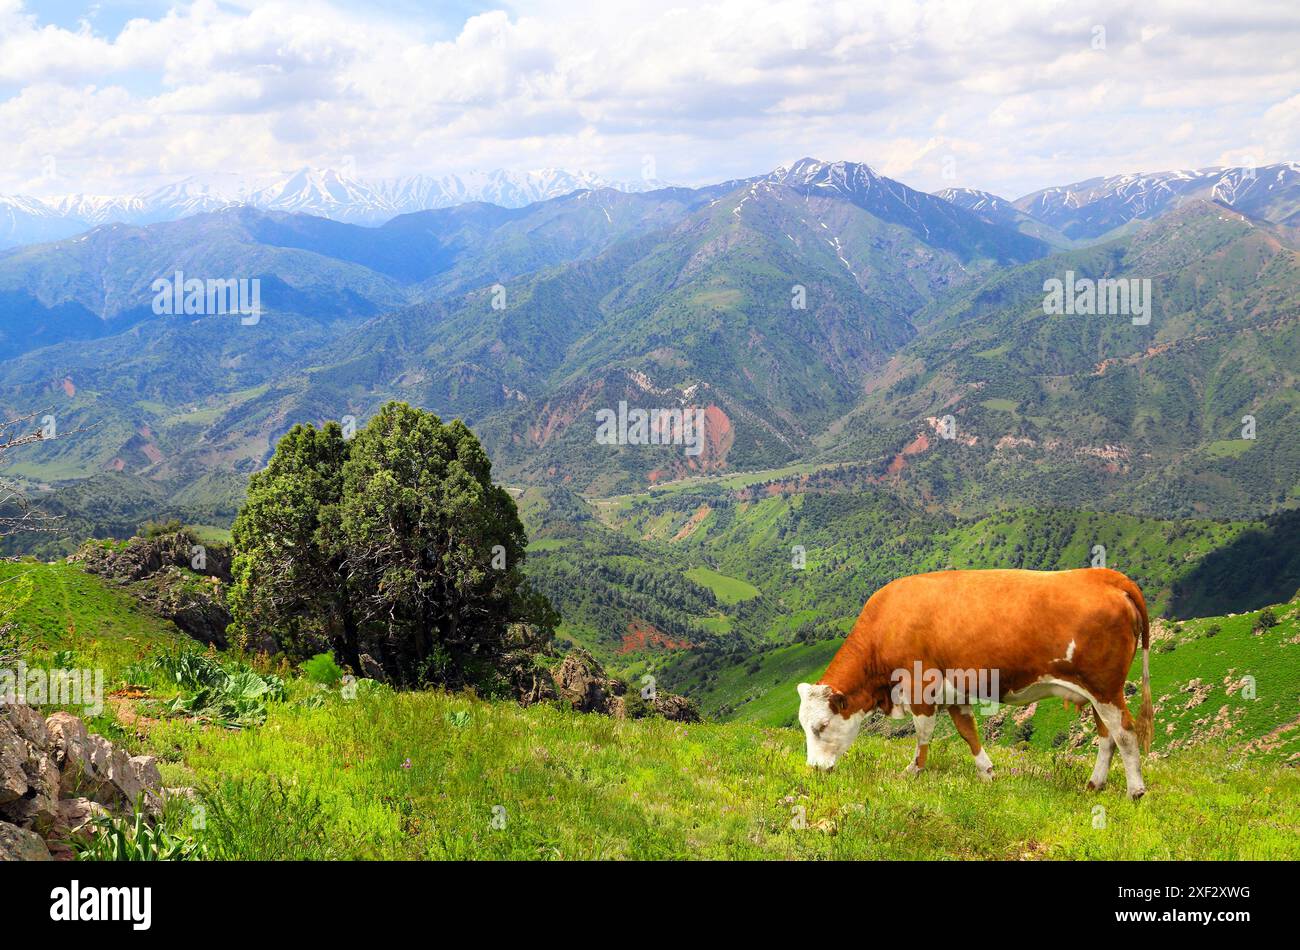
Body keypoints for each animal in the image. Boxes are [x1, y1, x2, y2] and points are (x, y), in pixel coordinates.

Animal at [797, 568, 1154, 799]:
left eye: (822, 726)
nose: (814, 768)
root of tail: (1106, 575)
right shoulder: (955, 690)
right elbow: (968, 732)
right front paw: (987, 772)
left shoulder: (919, 686)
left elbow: (923, 734)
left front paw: (913, 771)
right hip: (1096, 692)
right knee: (1107, 736)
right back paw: (1094, 785)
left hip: (1105, 687)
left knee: (1125, 732)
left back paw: (1135, 791)